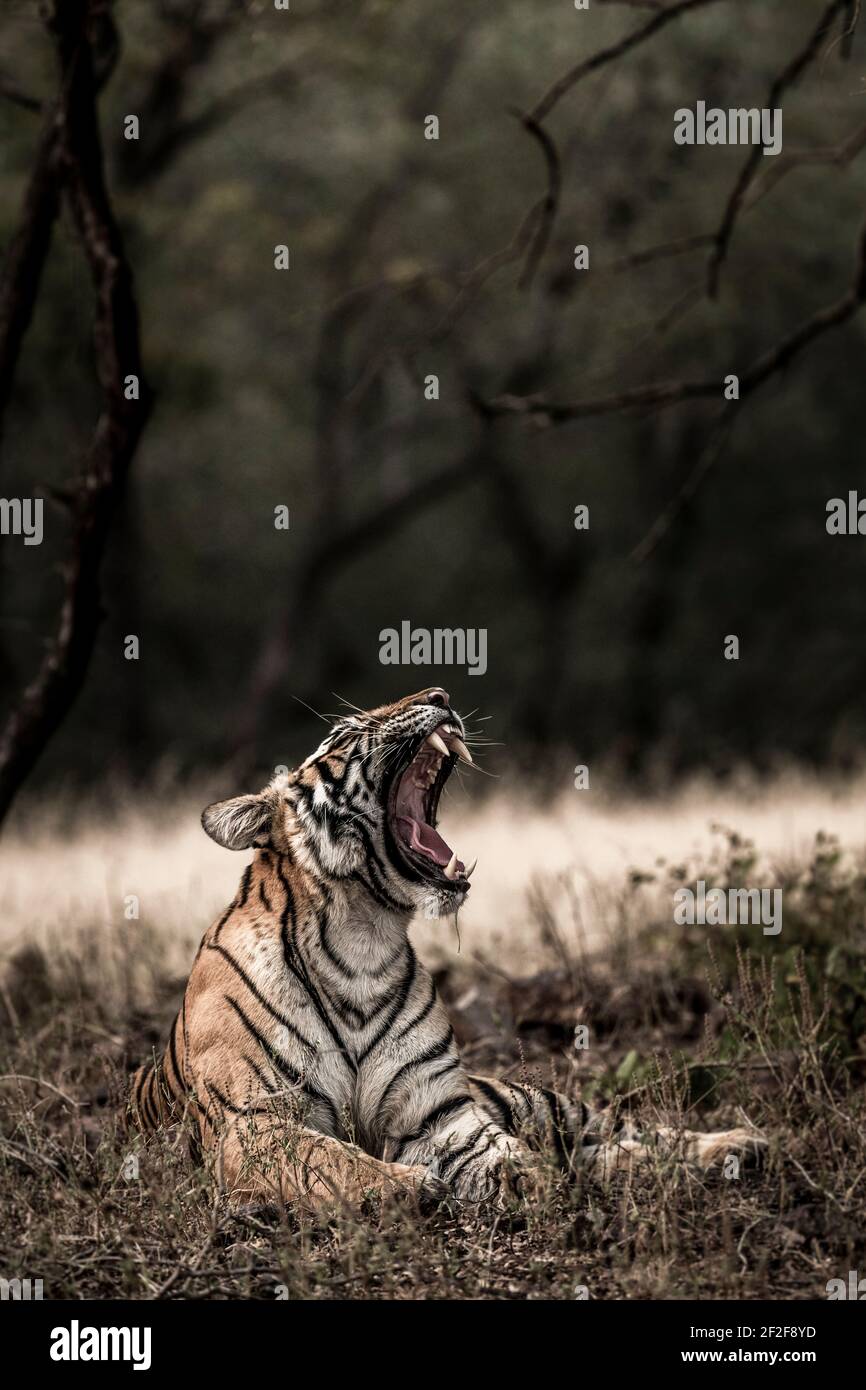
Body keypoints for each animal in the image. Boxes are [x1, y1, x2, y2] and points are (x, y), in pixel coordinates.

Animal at [128, 687, 765, 1210]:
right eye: (349, 729)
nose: (440, 694)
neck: (362, 942)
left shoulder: (437, 1113)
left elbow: (498, 1151)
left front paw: (529, 1181)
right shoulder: (253, 1124)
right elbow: (332, 1161)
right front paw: (411, 1187)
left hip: (538, 1100)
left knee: (628, 1131)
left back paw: (738, 1145)